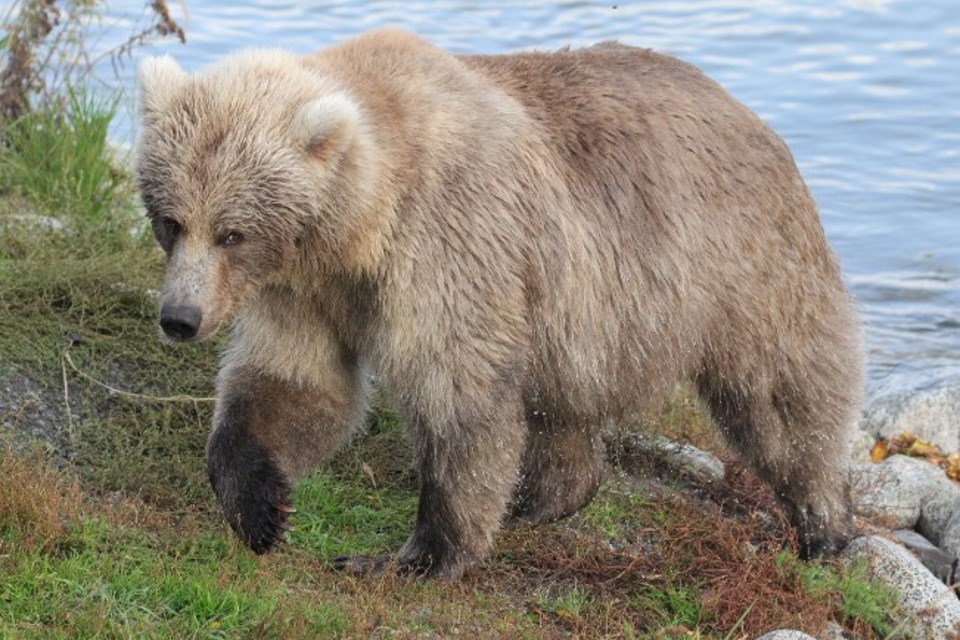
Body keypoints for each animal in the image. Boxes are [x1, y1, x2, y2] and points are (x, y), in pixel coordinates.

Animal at [136, 28, 863, 579]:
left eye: (233, 232)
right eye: (171, 220)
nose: (179, 319)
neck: (363, 223)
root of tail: (753, 115)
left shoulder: (451, 241)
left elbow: (457, 396)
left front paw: (414, 555)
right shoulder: (309, 285)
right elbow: (292, 382)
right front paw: (261, 509)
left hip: (738, 265)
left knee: (781, 394)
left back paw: (823, 523)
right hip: (575, 314)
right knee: (560, 408)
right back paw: (538, 499)